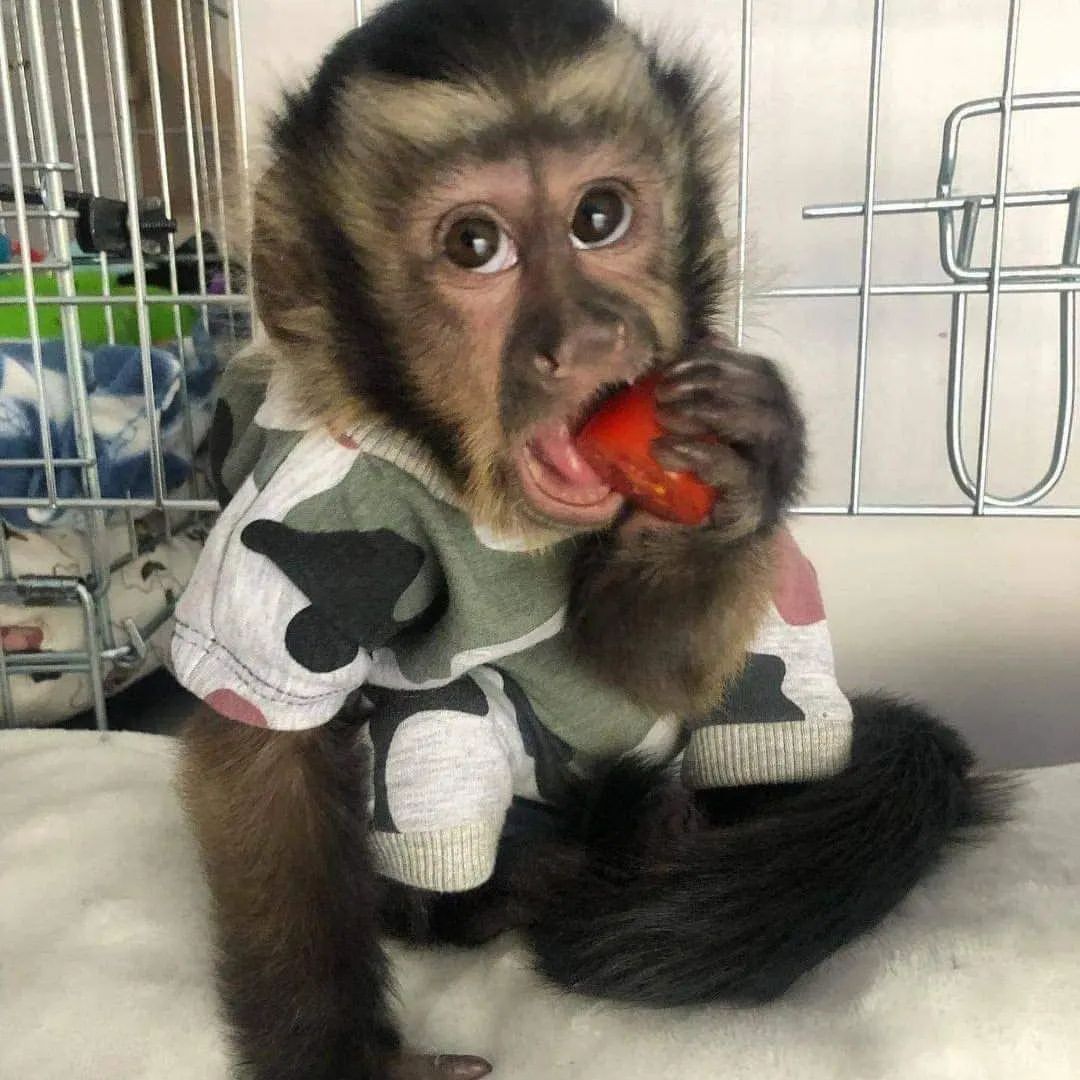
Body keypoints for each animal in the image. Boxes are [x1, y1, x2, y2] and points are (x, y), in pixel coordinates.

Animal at [175, 1, 1003, 1077]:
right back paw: (483, 898)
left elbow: (652, 667)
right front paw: (336, 1054)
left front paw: (743, 470)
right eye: (475, 243)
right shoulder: (320, 502)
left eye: (599, 217)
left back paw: (676, 835)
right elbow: (267, 750)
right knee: (438, 725)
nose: (590, 336)